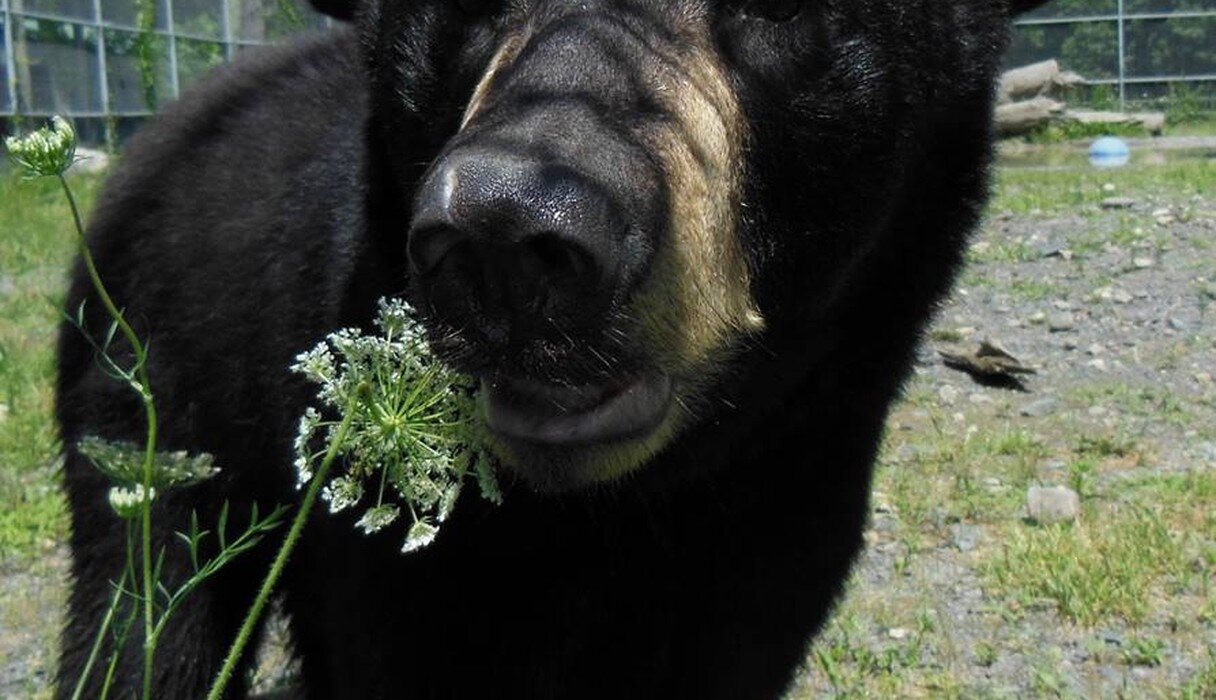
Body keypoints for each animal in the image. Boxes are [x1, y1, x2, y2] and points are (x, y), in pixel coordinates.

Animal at [55, 1, 1050, 698]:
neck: (616, 509)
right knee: (141, 606)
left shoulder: (788, 504)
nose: (501, 240)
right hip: (143, 393)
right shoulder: (415, 562)